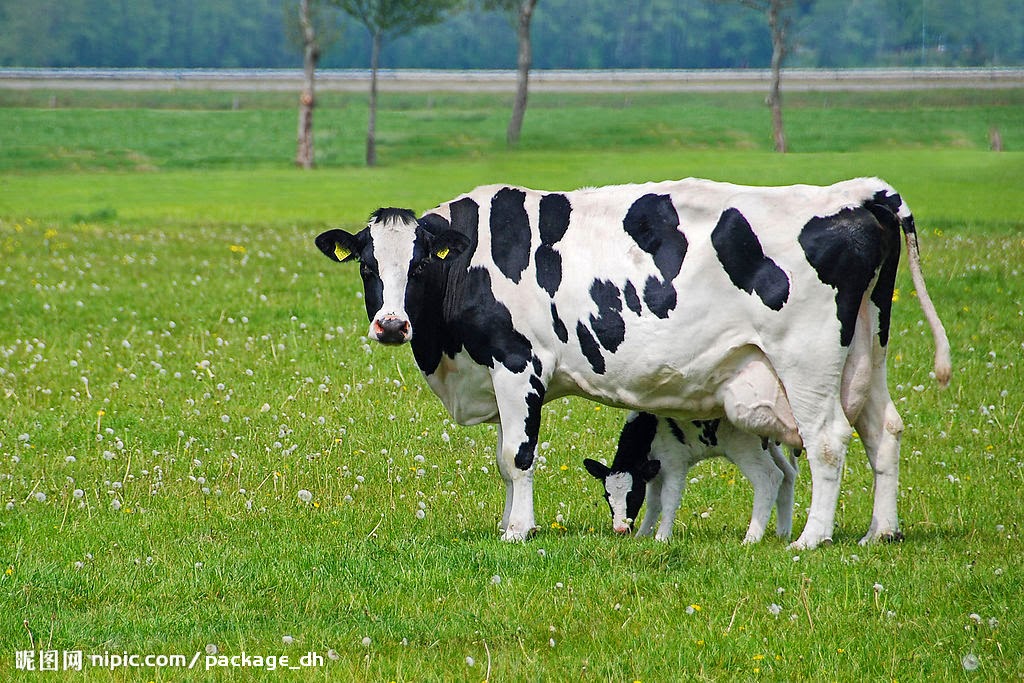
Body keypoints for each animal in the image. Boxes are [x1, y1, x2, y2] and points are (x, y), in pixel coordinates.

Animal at [584, 411, 798, 543]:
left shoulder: (675, 464)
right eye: (607, 497)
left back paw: (751, 538)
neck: (650, 428)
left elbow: (669, 500)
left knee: (770, 477)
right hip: (768, 447)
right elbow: (654, 503)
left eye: (633, 496)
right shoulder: (654, 470)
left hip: (744, 447)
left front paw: (662, 537)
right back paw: (783, 533)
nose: (620, 529)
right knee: (787, 474)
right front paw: (643, 535)